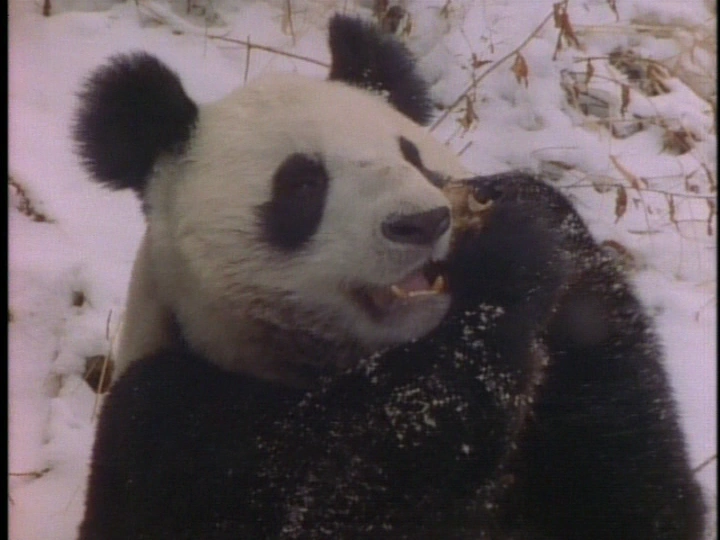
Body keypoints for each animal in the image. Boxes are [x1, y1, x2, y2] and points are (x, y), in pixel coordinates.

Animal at [74, 14, 705, 540]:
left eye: (412, 155)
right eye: (302, 184)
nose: (423, 222)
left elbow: (634, 495)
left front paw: (539, 216)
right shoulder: (168, 436)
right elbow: (335, 488)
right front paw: (503, 263)